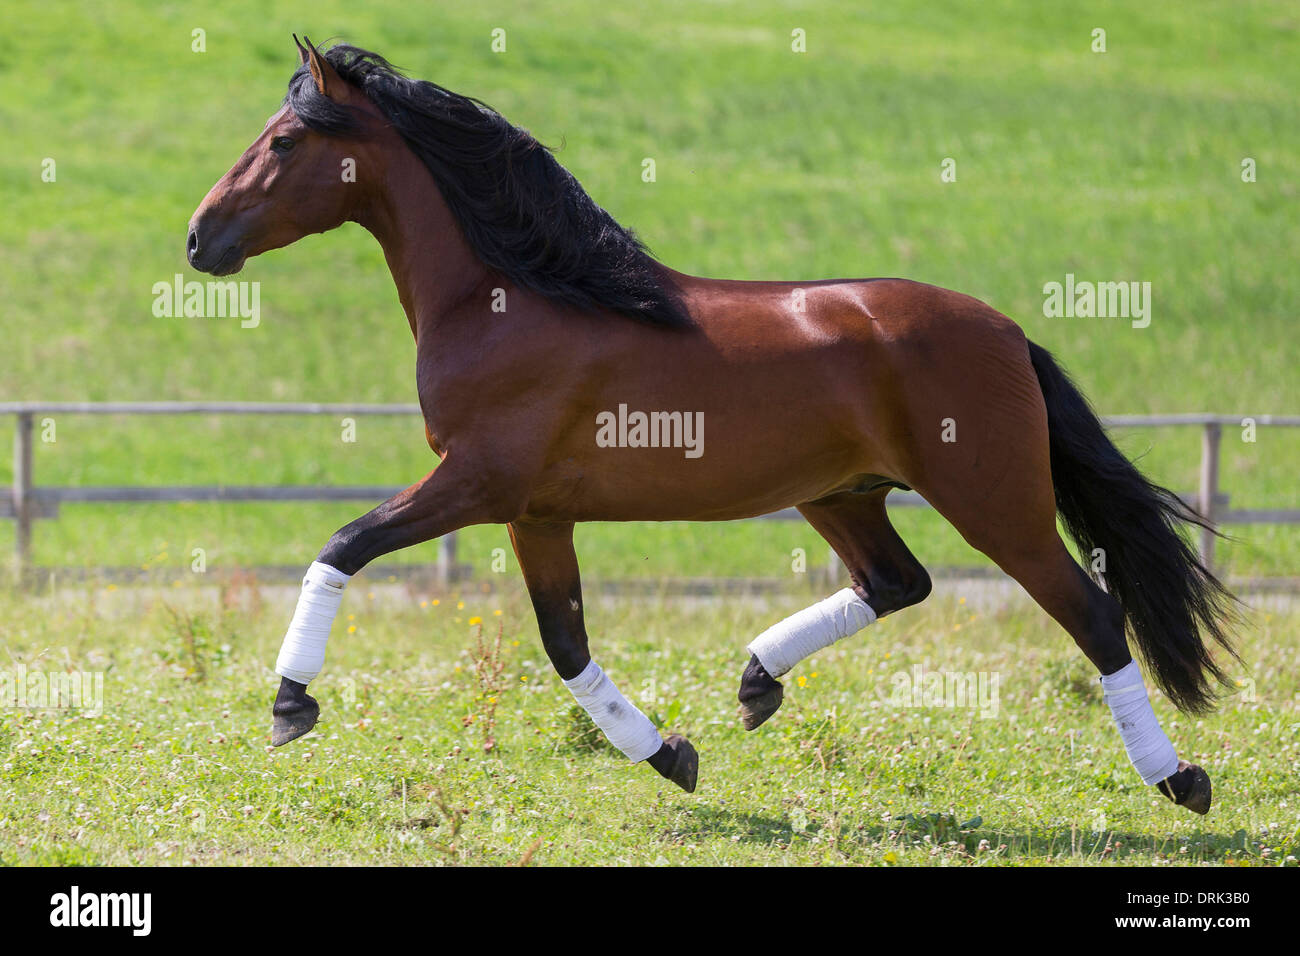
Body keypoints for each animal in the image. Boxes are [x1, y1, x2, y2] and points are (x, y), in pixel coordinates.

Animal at [188, 38, 1238, 812]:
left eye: (284, 142)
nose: (200, 240)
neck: (511, 296)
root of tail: (1010, 332)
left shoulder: (477, 484)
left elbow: (343, 543)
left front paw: (290, 703)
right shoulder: (536, 513)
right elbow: (564, 643)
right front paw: (672, 756)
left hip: (995, 503)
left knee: (1093, 616)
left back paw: (1180, 780)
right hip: (842, 496)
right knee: (898, 583)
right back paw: (756, 681)